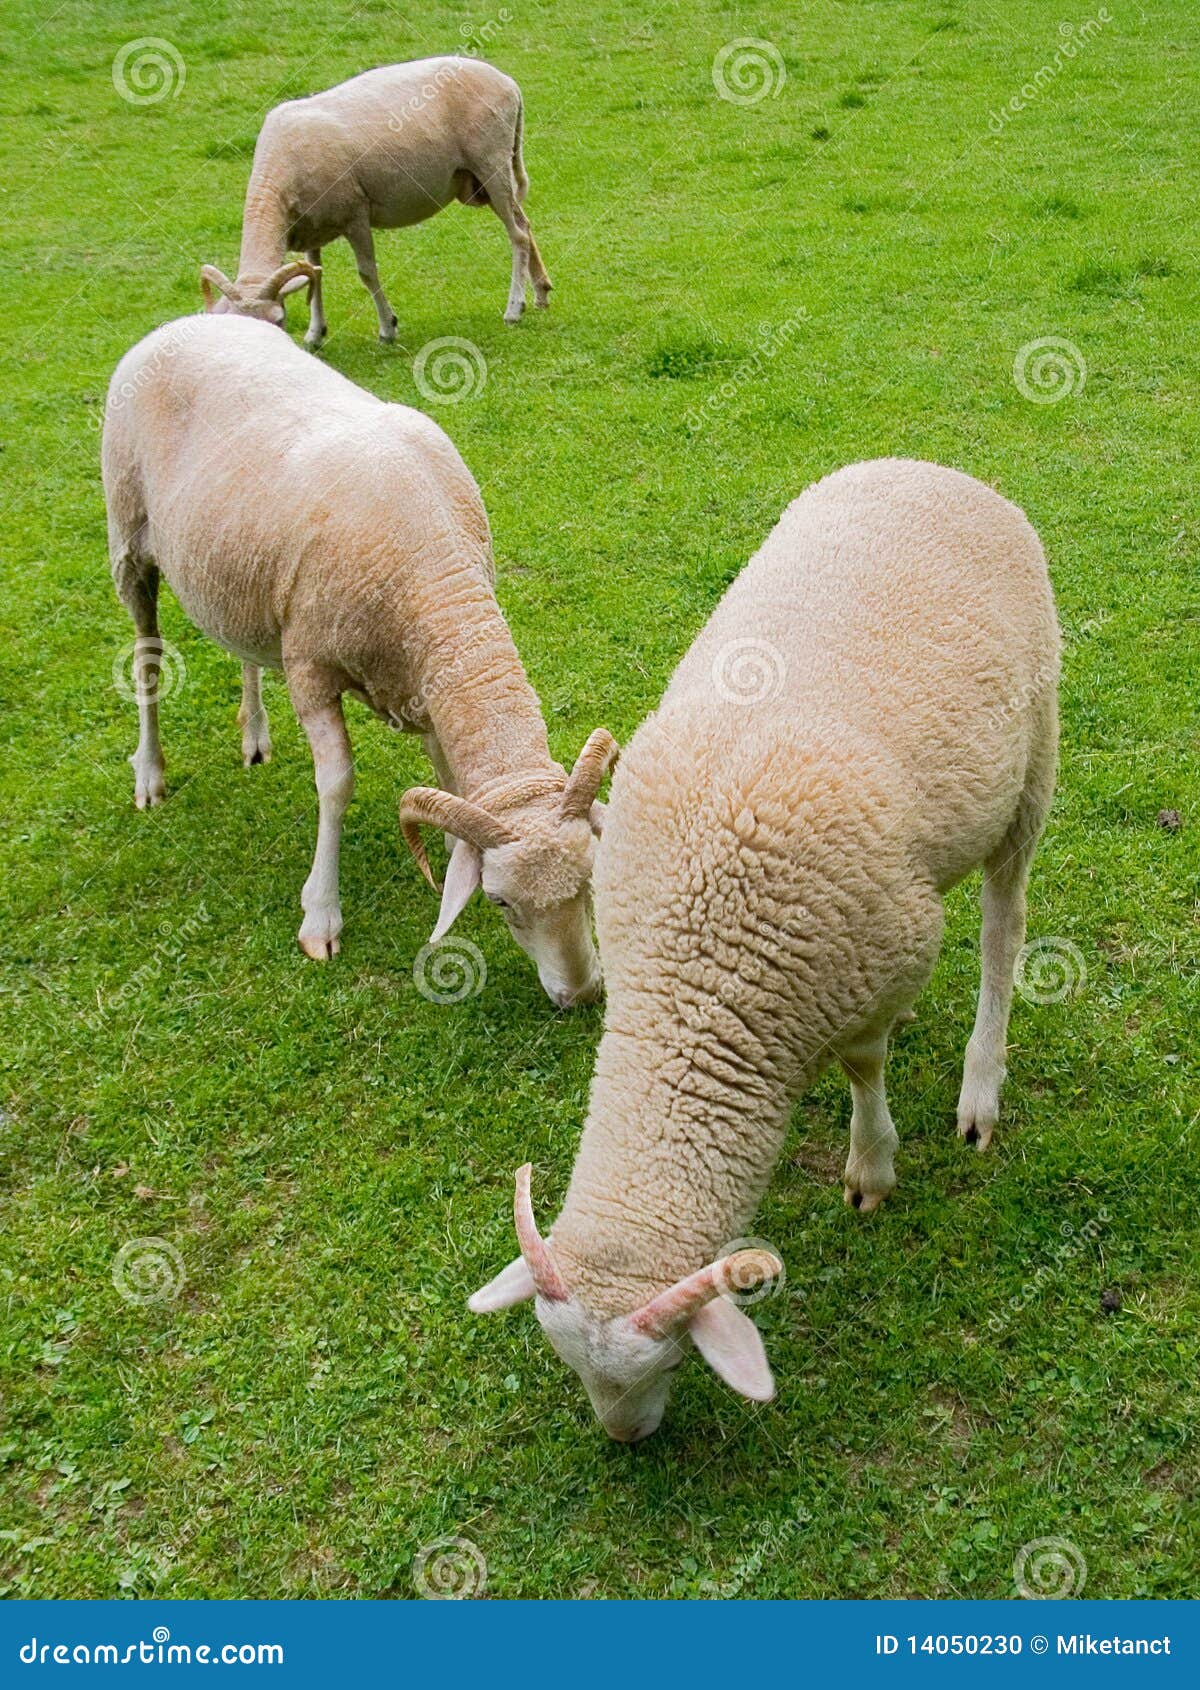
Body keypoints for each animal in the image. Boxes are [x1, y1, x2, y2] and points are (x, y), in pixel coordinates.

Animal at [101, 313, 613, 1004]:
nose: (581, 995)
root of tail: (188, 320)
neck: (432, 573)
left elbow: (447, 771)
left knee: (241, 649)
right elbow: (337, 782)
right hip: (129, 540)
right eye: (503, 903)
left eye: (589, 878)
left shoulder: (424, 683)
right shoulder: (310, 669)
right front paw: (320, 916)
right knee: (148, 660)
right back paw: (149, 774)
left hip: (238, 576)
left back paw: (253, 735)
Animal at [199, 57, 552, 344]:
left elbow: (367, 273)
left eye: (279, 321)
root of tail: (508, 82)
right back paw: (541, 292)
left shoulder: (355, 214)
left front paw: (387, 328)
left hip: (491, 163)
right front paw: (315, 333)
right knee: (524, 223)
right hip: (481, 181)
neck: (276, 179)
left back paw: (514, 308)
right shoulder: (313, 226)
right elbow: (316, 274)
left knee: (517, 234)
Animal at [470, 458, 1060, 1438]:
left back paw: (982, 1084)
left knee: (1002, 926)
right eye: (568, 1363)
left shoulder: (858, 963)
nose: (626, 1441)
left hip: (1033, 763)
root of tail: (930, 466)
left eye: (674, 1359)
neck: (699, 968)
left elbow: (865, 1067)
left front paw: (871, 1168)